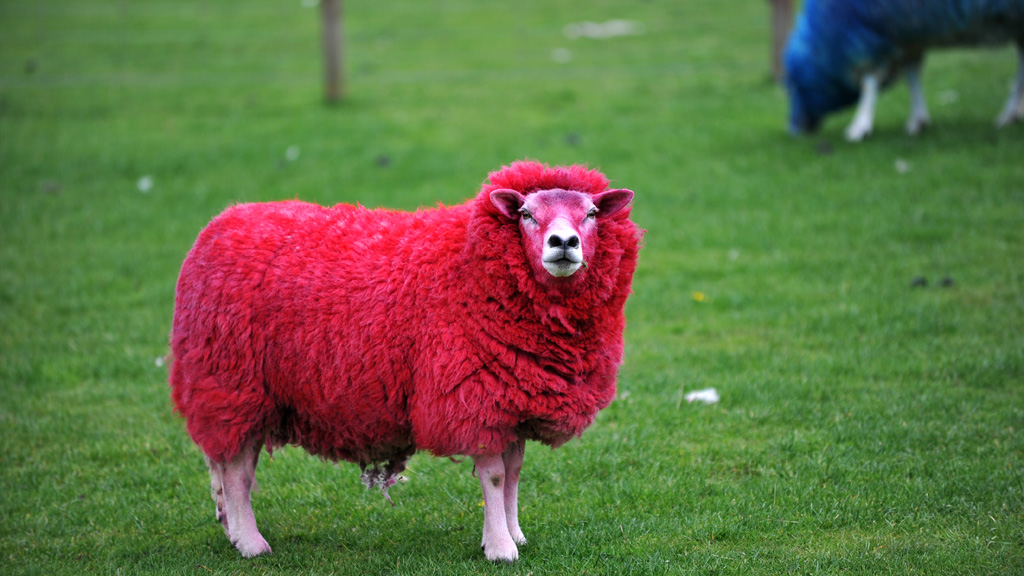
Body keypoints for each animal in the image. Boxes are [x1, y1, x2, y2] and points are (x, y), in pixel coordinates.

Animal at [168, 160, 642, 562]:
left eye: (592, 213)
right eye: (526, 213)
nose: (563, 243)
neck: (468, 265)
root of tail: (221, 223)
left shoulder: (511, 398)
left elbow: (514, 473)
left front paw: (513, 532)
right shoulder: (473, 398)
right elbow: (493, 477)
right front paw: (500, 548)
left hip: (227, 390)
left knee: (220, 461)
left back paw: (228, 523)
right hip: (233, 382)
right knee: (237, 472)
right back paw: (250, 543)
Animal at [784, 0, 1024, 141]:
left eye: (793, 87)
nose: (794, 129)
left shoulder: (871, 33)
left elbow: (869, 80)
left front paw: (859, 126)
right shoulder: (907, 35)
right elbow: (912, 71)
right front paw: (917, 120)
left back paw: (1009, 114)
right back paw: (1013, 112)